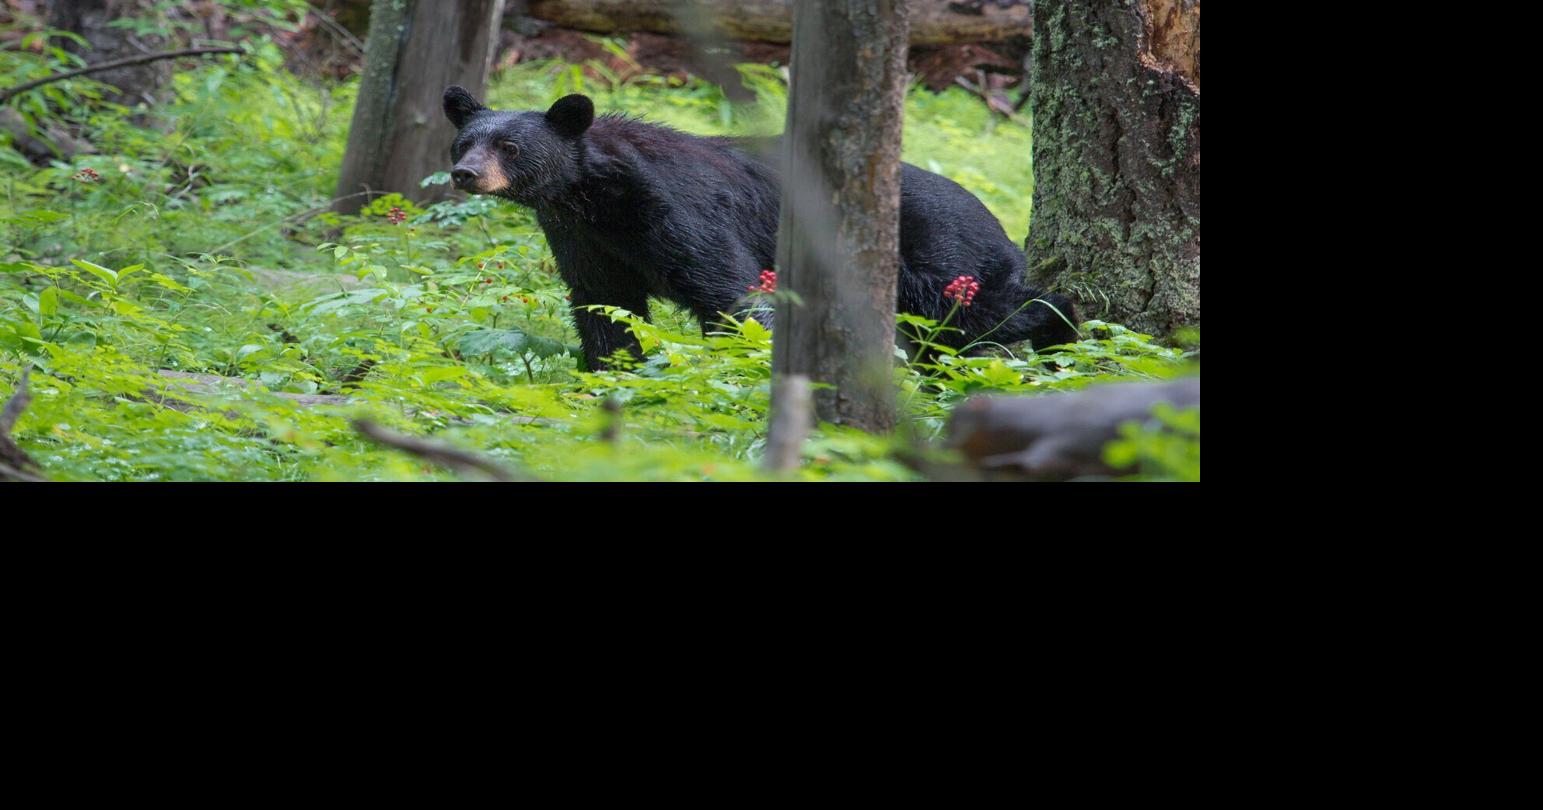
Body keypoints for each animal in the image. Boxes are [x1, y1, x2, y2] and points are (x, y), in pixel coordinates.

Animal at [442, 86, 1078, 371]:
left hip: (941, 261)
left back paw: (1063, 331)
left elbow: (730, 290)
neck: (592, 193)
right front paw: (611, 373)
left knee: (983, 315)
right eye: (465, 140)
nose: (465, 173)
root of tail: (994, 218)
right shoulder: (583, 239)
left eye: (509, 145)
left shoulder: (677, 211)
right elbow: (605, 306)